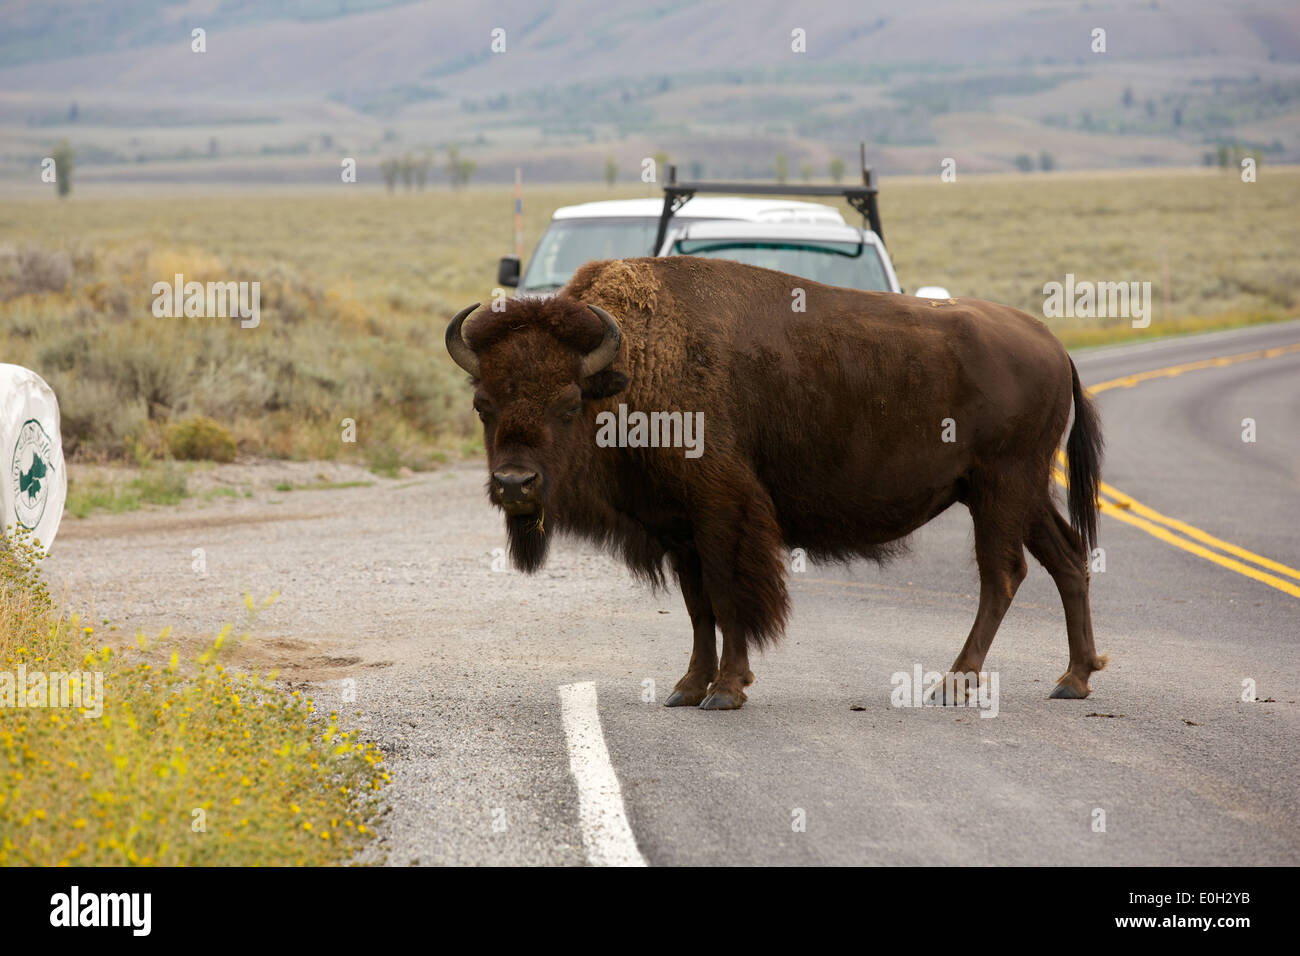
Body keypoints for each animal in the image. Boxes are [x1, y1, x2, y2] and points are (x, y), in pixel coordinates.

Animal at [445, 256, 1105, 710]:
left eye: (567, 404)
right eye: (483, 405)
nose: (514, 484)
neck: (634, 366)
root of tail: (1055, 346)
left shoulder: (722, 513)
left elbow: (729, 596)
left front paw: (727, 689)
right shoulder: (680, 528)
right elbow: (698, 607)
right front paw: (688, 687)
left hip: (1000, 489)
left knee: (1003, 574)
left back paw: (954, 683)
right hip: (1018, 493)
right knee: (1068, 559)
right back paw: (1073, 679)